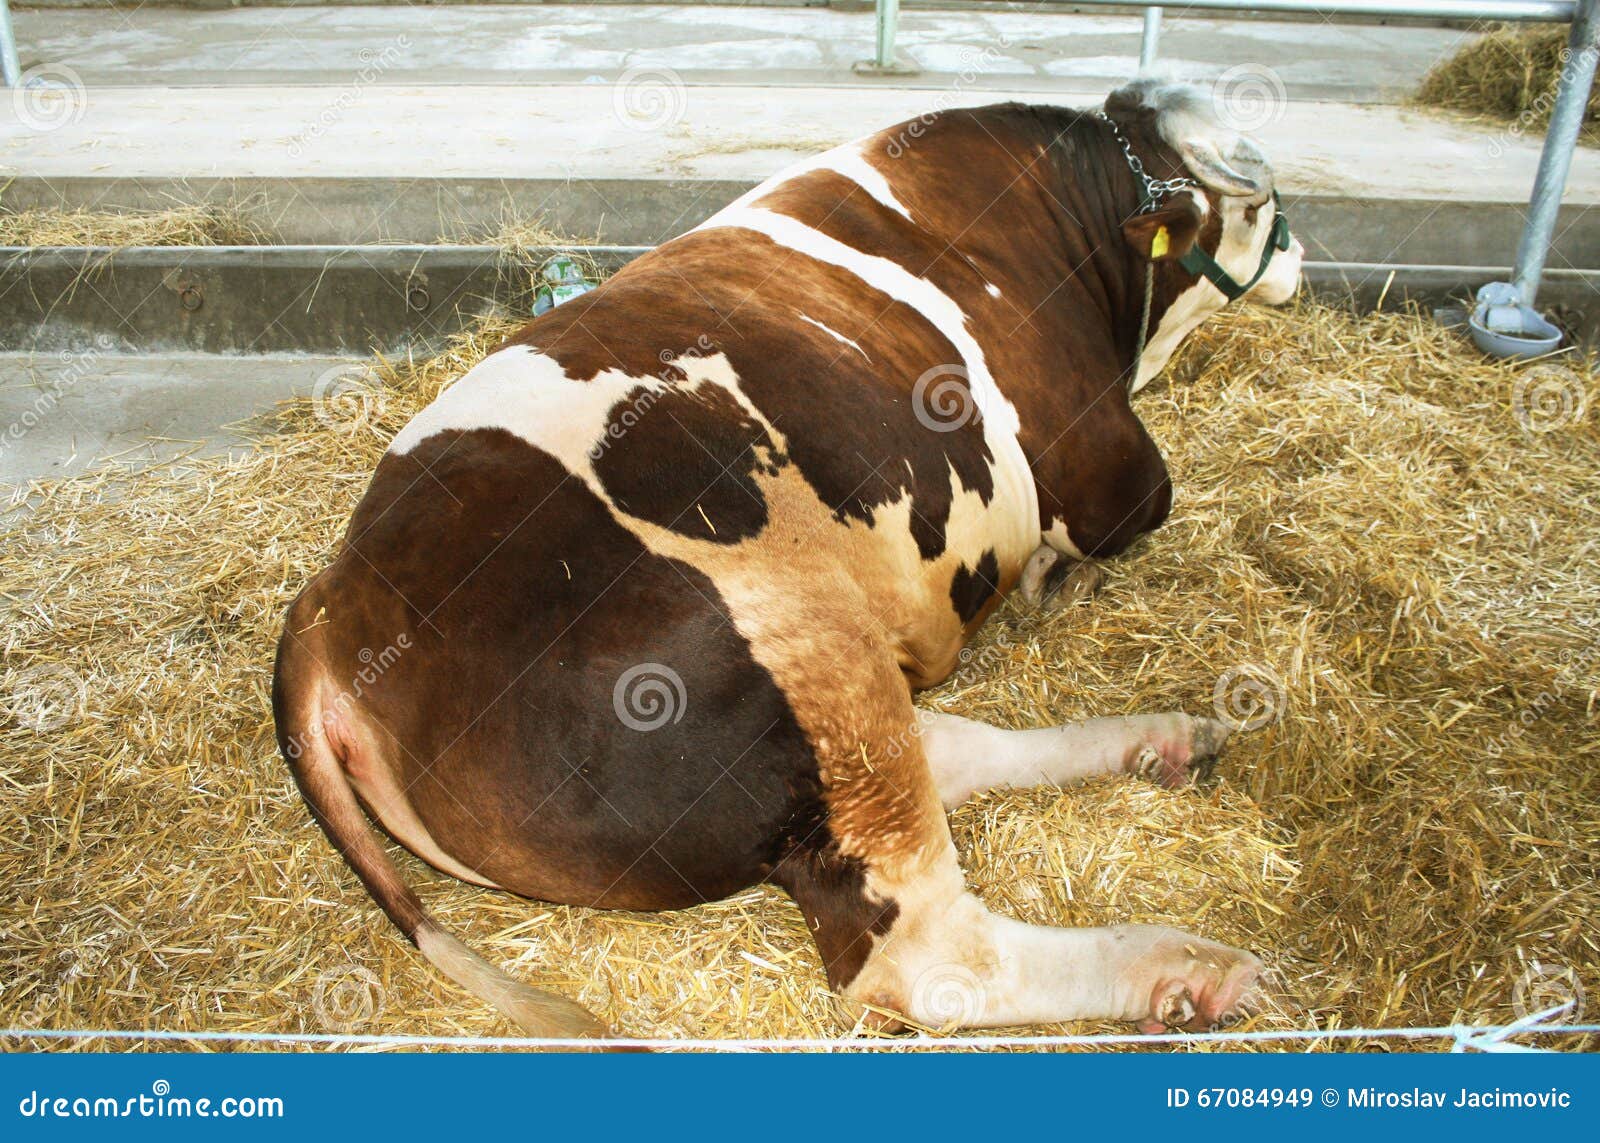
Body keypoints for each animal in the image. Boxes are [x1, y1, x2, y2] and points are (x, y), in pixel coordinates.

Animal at [272, 77, 1303, 1043]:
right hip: (806, 645)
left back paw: (1166, 738)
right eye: (1262, 199)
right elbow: (1126, 511)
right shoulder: (1105, 455)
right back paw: (1187, 965)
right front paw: (1060, 572)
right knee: (931, 952)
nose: (1296, 255)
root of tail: (330, 603)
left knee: (949, 752)